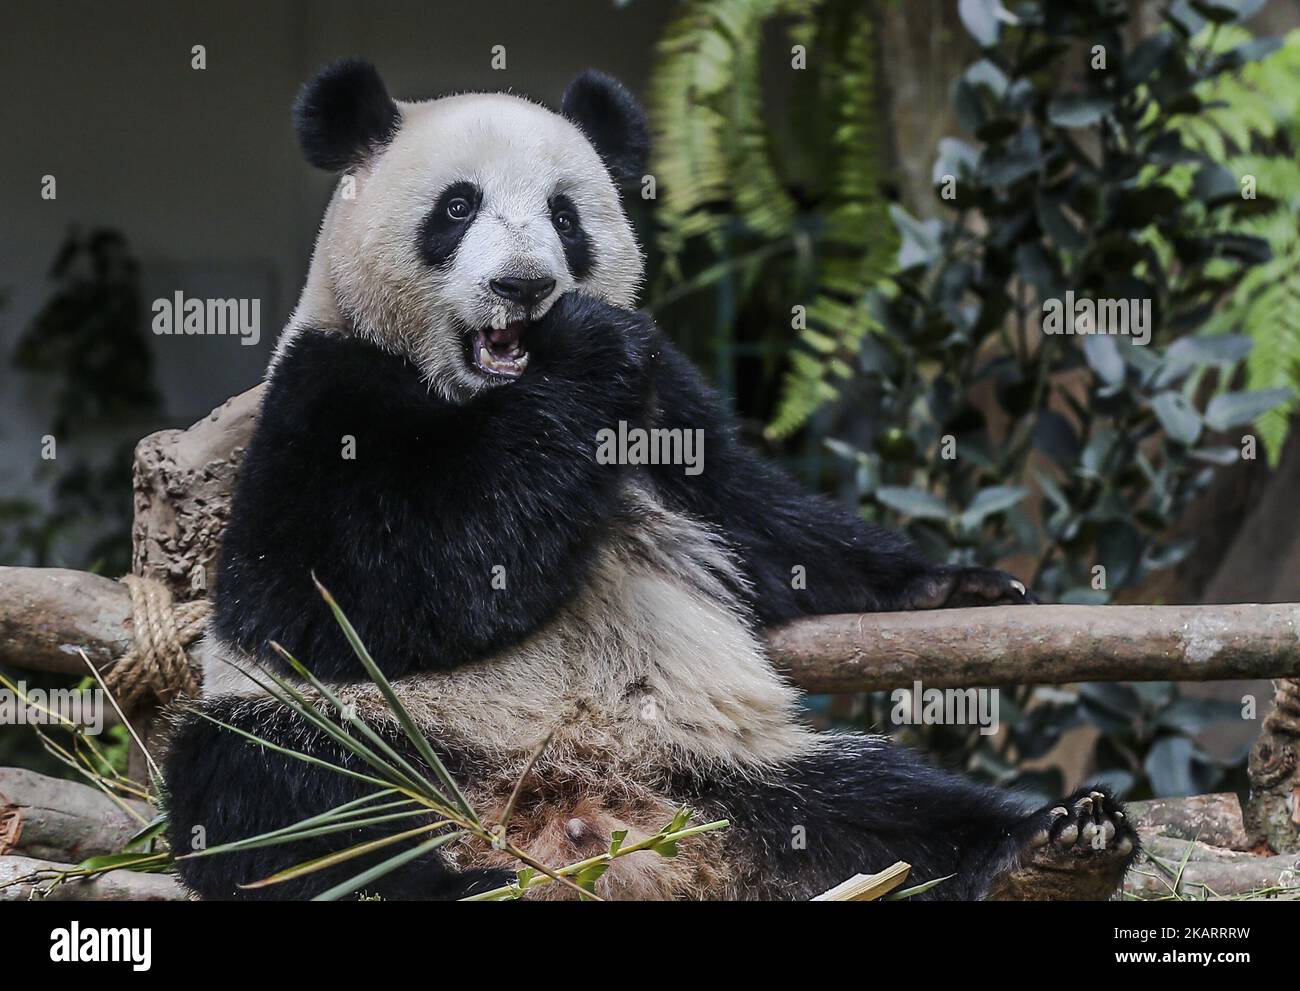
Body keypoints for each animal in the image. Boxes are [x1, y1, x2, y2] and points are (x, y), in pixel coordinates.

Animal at [162, 57, 1138, 899]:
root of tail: (585, 818)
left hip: (727, 769)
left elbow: (768, 526)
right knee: (275, 798)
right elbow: (378, 588)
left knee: (886, 807)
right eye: (457, 206)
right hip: (368, 739)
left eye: (564, 215)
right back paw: (459, 881)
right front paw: (583, 348)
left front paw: (955, 585)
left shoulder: (671, 416)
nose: (525, 286)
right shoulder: (321, 399)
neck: (492, 391)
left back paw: (1048, 850)